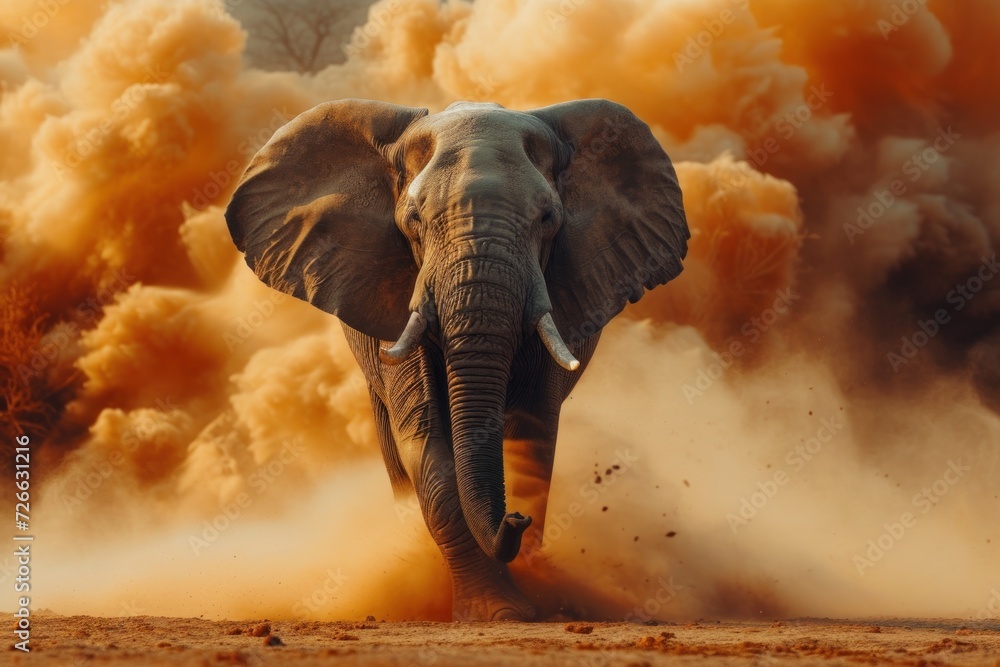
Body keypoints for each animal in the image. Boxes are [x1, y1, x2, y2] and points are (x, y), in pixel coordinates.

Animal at [224, 98, 689, 621]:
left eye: (548, 219)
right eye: (413, 221)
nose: (515, 518)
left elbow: (531, 437)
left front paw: (535, 592)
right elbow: (426, 443)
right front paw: (500, 612)